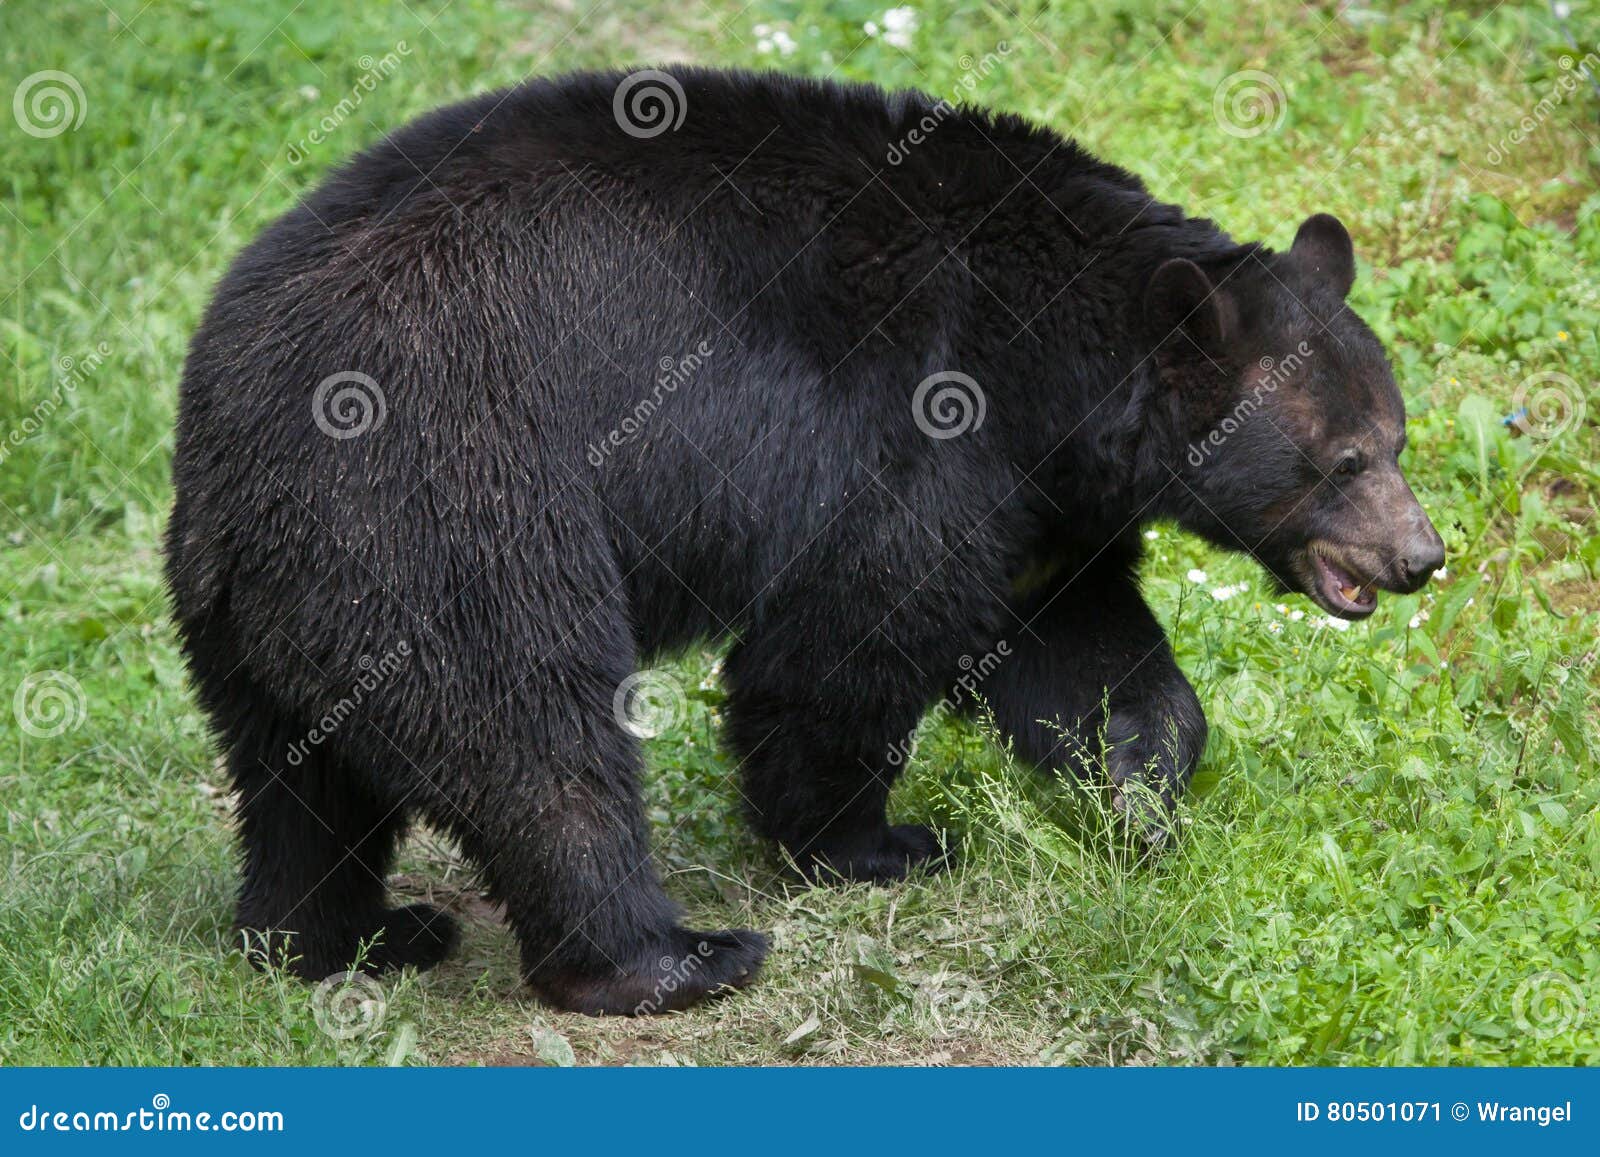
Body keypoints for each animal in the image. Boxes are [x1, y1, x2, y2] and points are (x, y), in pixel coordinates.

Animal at [166, 66, 1445, 1015]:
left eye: (1397, 433)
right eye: (1342, 460)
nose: (1419, 557)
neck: (1058, 370)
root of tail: (238, 452)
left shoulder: (1043, 506)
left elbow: (1076, 643)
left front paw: (1136, 789)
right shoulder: (922, 430)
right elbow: (848, 639)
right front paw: (872, 841)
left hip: (264, 602)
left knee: (301, 781)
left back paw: (344, 936)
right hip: (452, 506)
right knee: (533, 729)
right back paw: (668, 955)